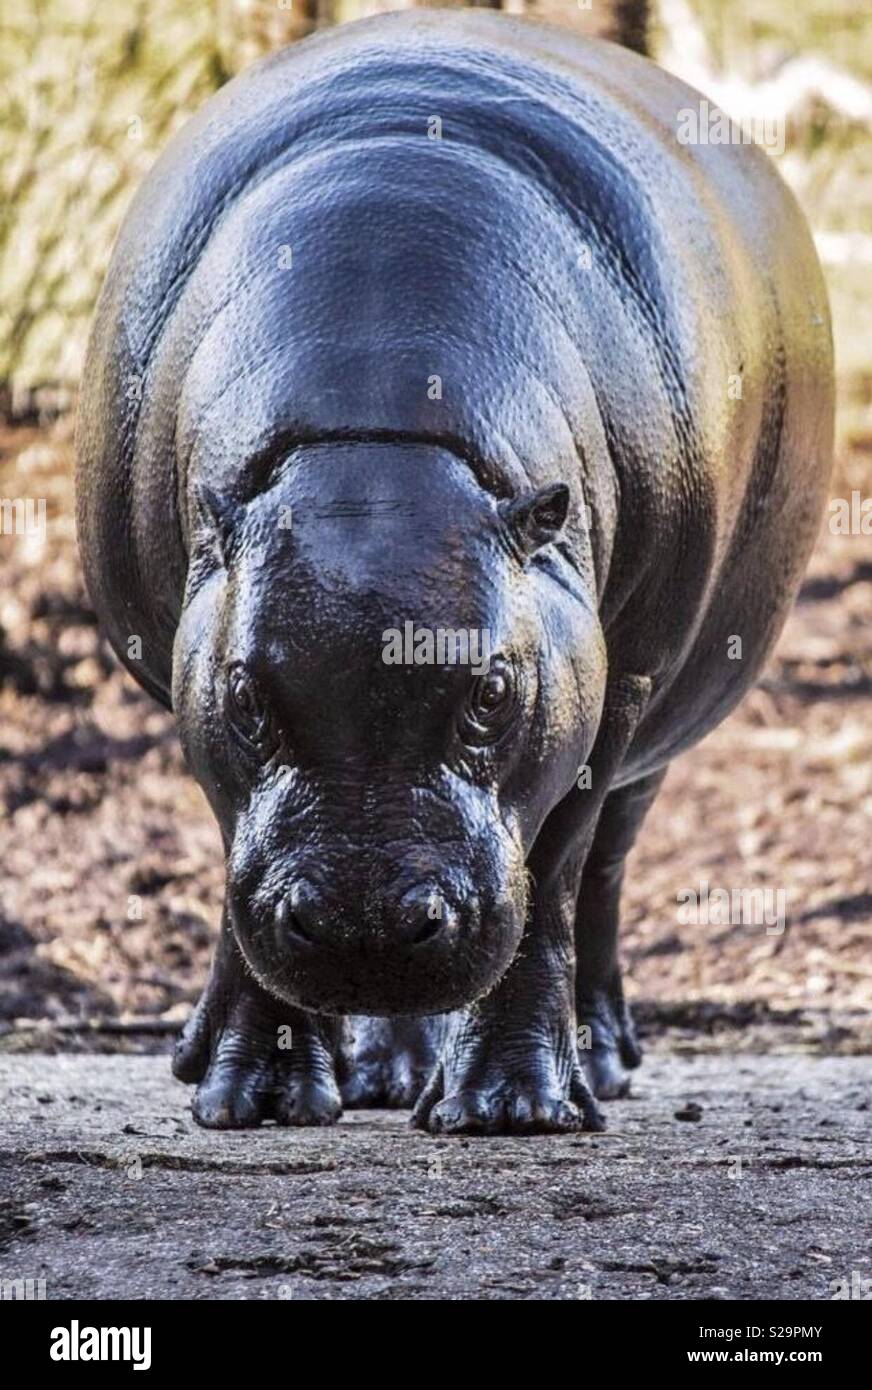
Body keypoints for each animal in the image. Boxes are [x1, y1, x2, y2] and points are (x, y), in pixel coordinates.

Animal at [76, 11, 833, 1134]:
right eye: (245, 697)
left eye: (490, 693)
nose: (365, 932)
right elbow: (234, 863)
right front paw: (256, 1098)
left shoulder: (603, 697)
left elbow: (553, 876)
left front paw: (512, 1108)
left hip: (662, 718)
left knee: (604, 871)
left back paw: (593, 1061)